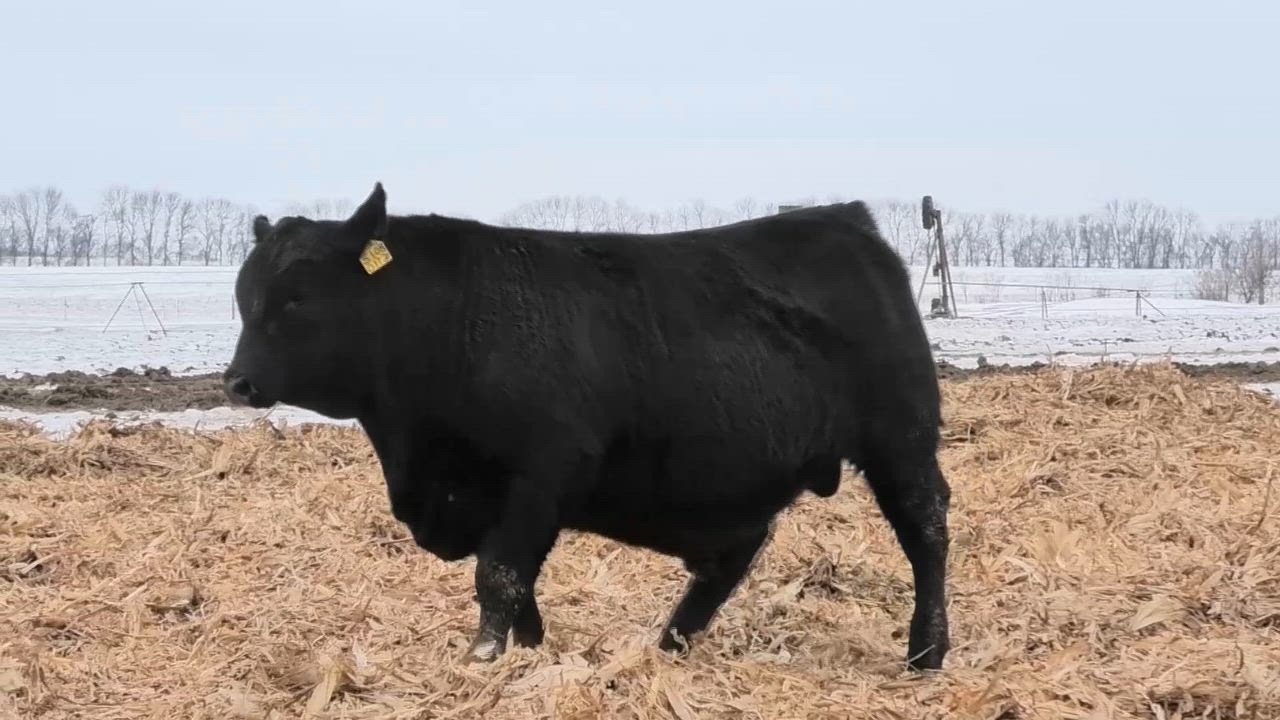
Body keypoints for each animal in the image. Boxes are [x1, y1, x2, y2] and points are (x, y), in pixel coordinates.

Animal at [223, 182, 951, 671]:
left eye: (297, 298)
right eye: (244, 297)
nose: (237, 382)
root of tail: (845, 219)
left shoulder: (540, 474)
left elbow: (500, 577)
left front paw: (481, 661)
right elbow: (518, 588)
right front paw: (528, 655)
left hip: (902, 438)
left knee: (925, 531)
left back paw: (927, 651)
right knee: (733, 555)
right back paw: (669, 647)